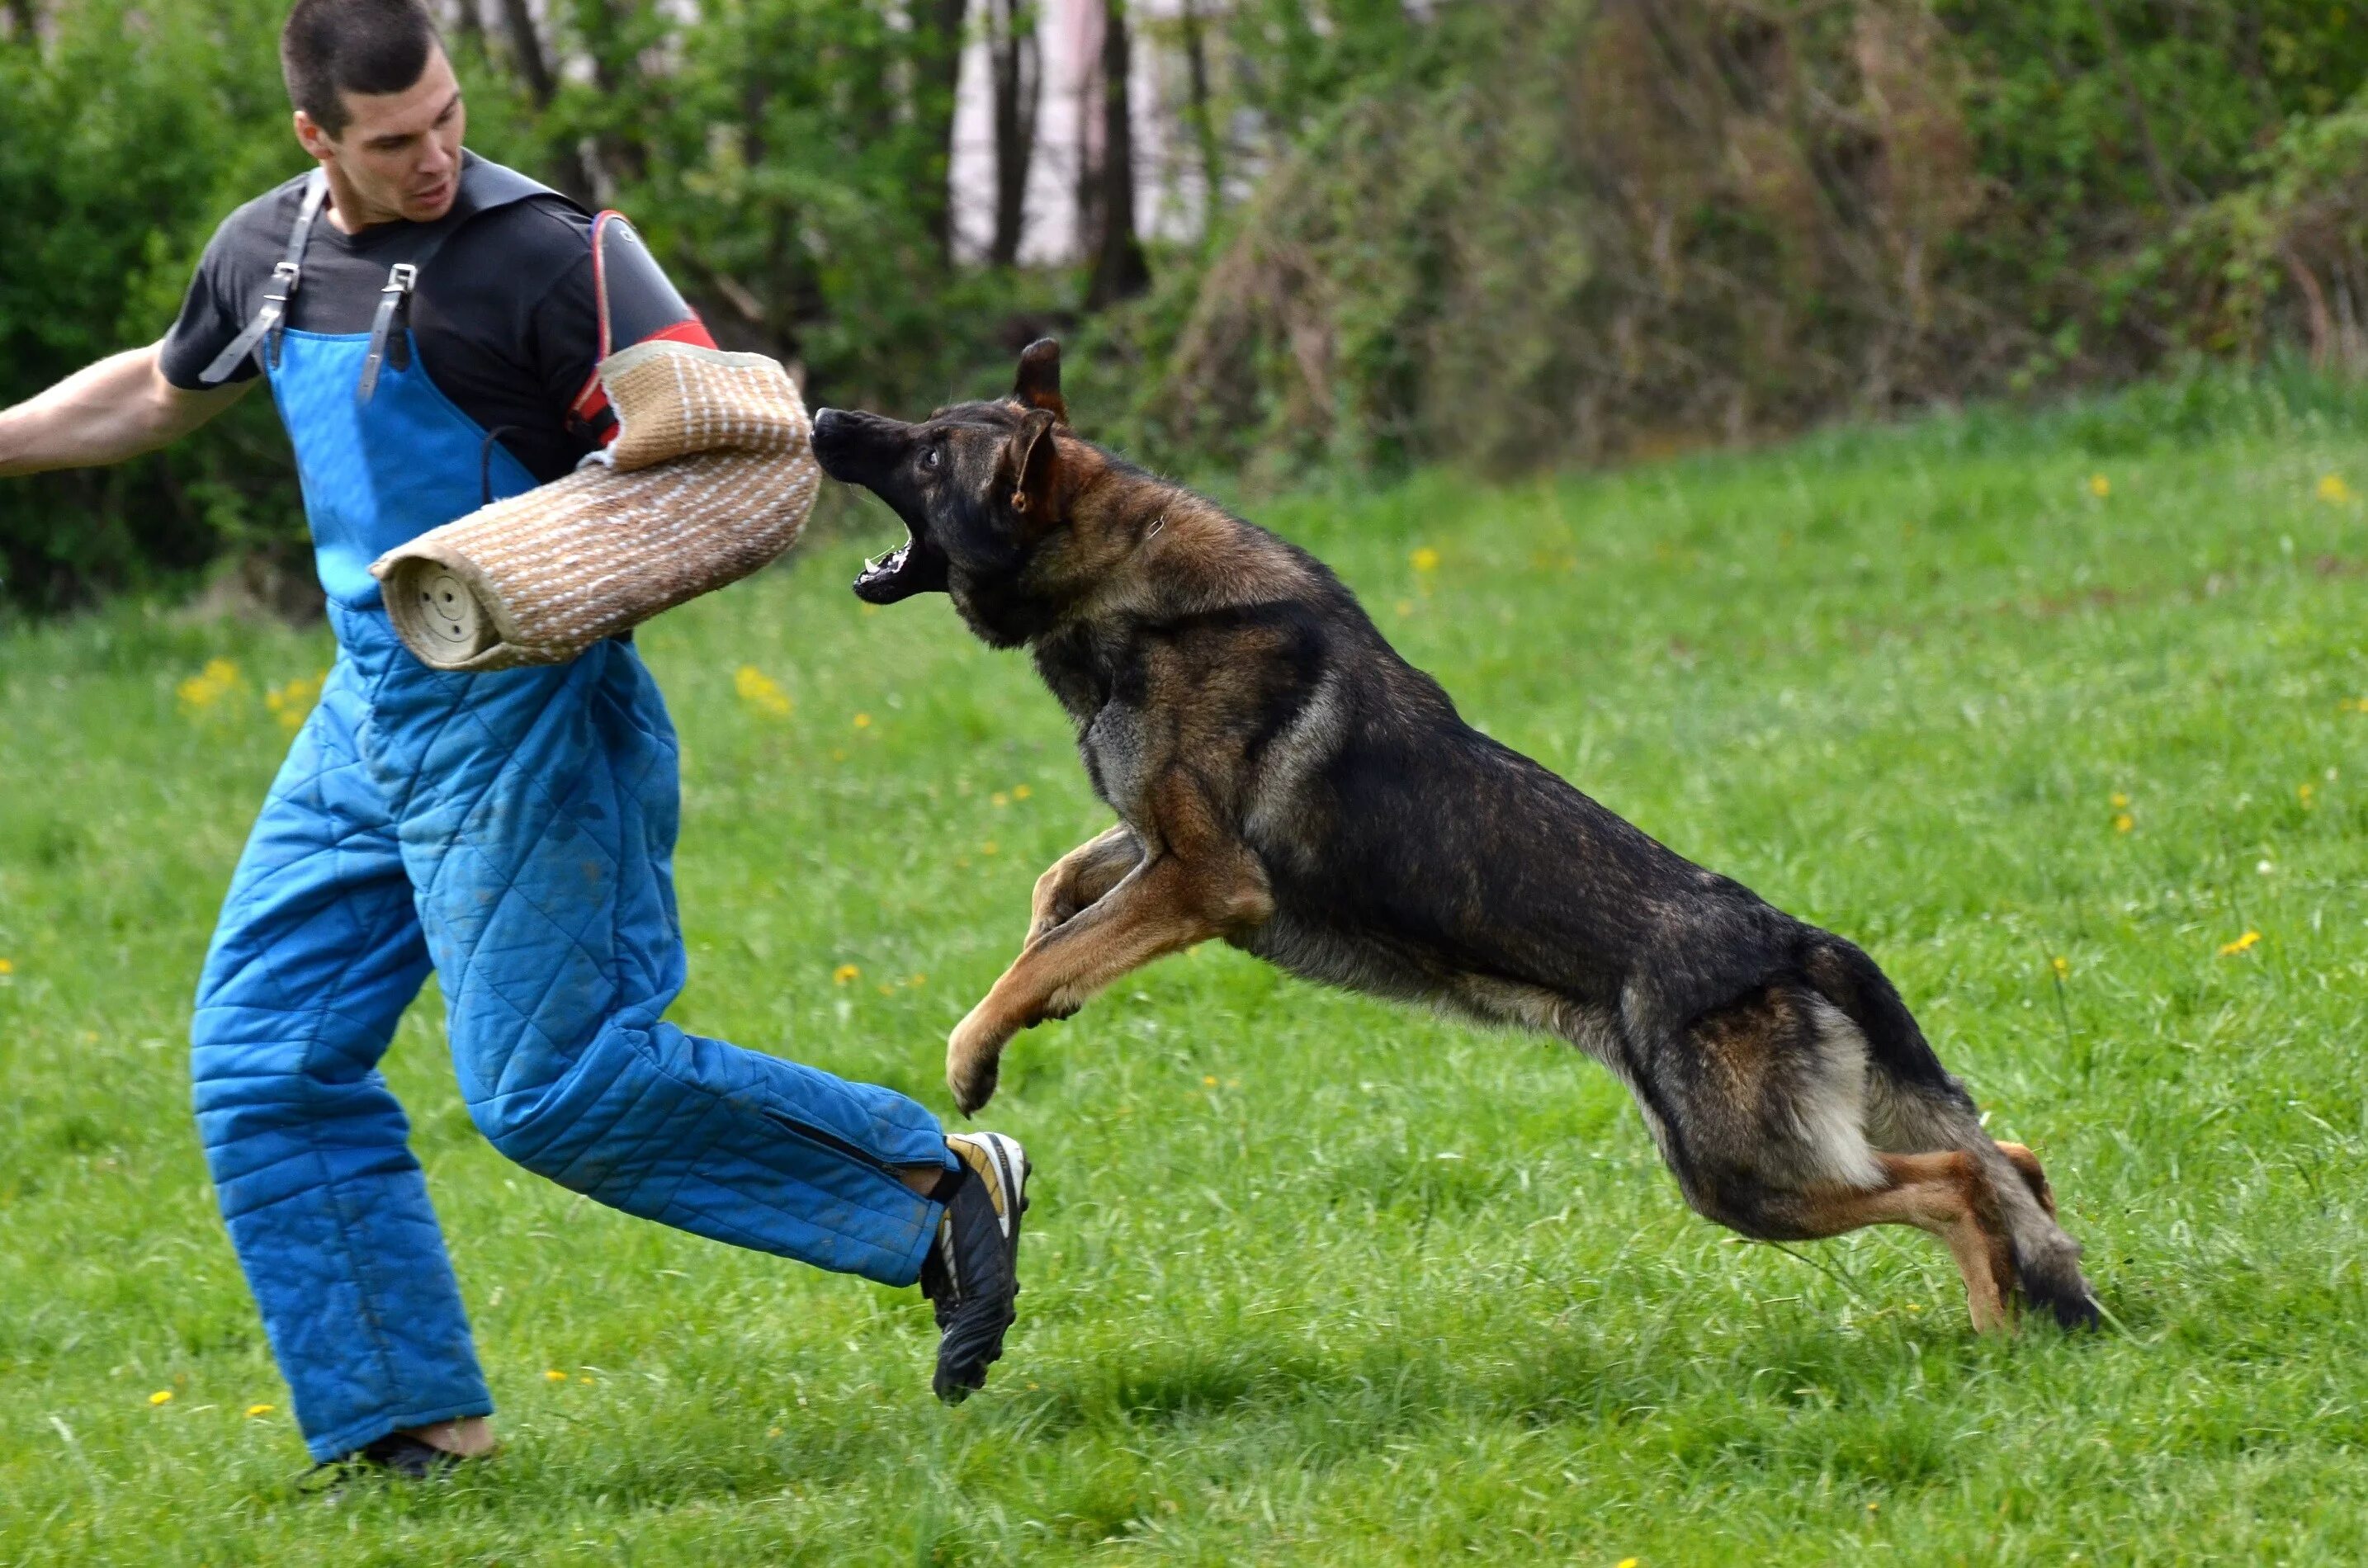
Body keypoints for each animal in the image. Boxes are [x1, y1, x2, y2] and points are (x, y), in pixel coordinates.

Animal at [814, 343, 2093, 1335]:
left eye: (929, 455)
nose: (823, 417)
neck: (1121, 581)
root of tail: (1792, 940)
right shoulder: (1160, 847)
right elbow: (1060, 890)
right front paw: (1044, 970)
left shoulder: (1208, 880)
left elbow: (1035, 961)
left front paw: (977, 1050)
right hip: (1794, 1147)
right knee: (2011, 1160)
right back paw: (2032, 1305)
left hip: (1739, 1173)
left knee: (1952, 1185)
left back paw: (1991, 1329)